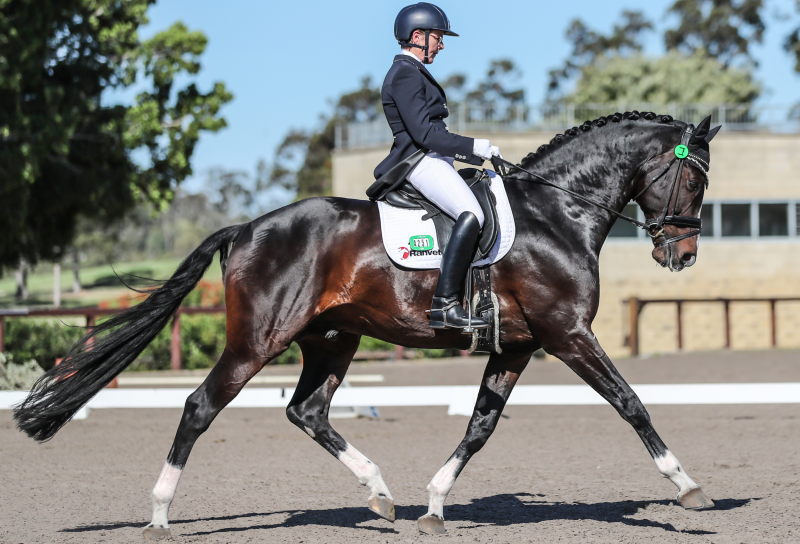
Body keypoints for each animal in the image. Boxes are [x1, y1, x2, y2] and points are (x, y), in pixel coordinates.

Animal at [15, 111, 718, 538]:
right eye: (694, 182)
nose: (681, 255)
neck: (555, 213)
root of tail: (245, 228)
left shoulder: (518, 345)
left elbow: (481, 426)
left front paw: (433, 504)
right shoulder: (568, 334)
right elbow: (631, 402)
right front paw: (688, 487)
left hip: (333, 339)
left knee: (306, 411)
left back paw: (380, 493)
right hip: (259, 339)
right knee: (199, 406)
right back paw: (160, 514)